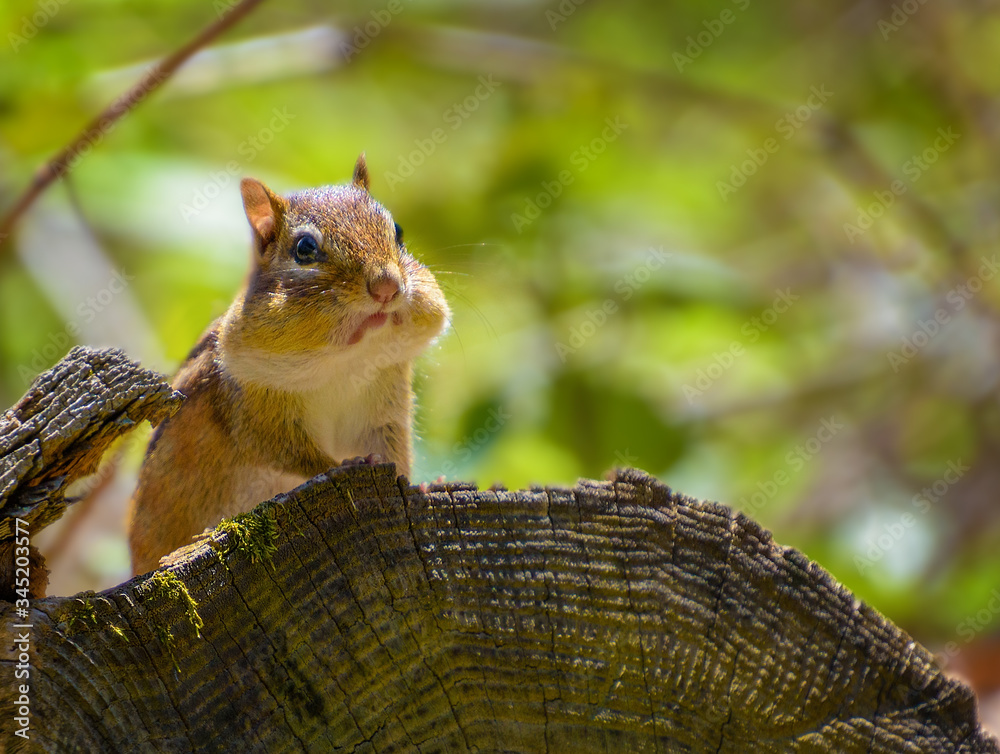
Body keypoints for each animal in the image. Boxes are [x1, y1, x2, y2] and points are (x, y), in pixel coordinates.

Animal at [128, 155, 450, 575]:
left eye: (397, 232)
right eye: (305, 248)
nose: (387, 287)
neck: (344, 366)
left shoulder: (384, 414)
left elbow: (395, 456)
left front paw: (425, 484)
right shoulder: (260, 412)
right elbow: (290, 452)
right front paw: (346, 464)